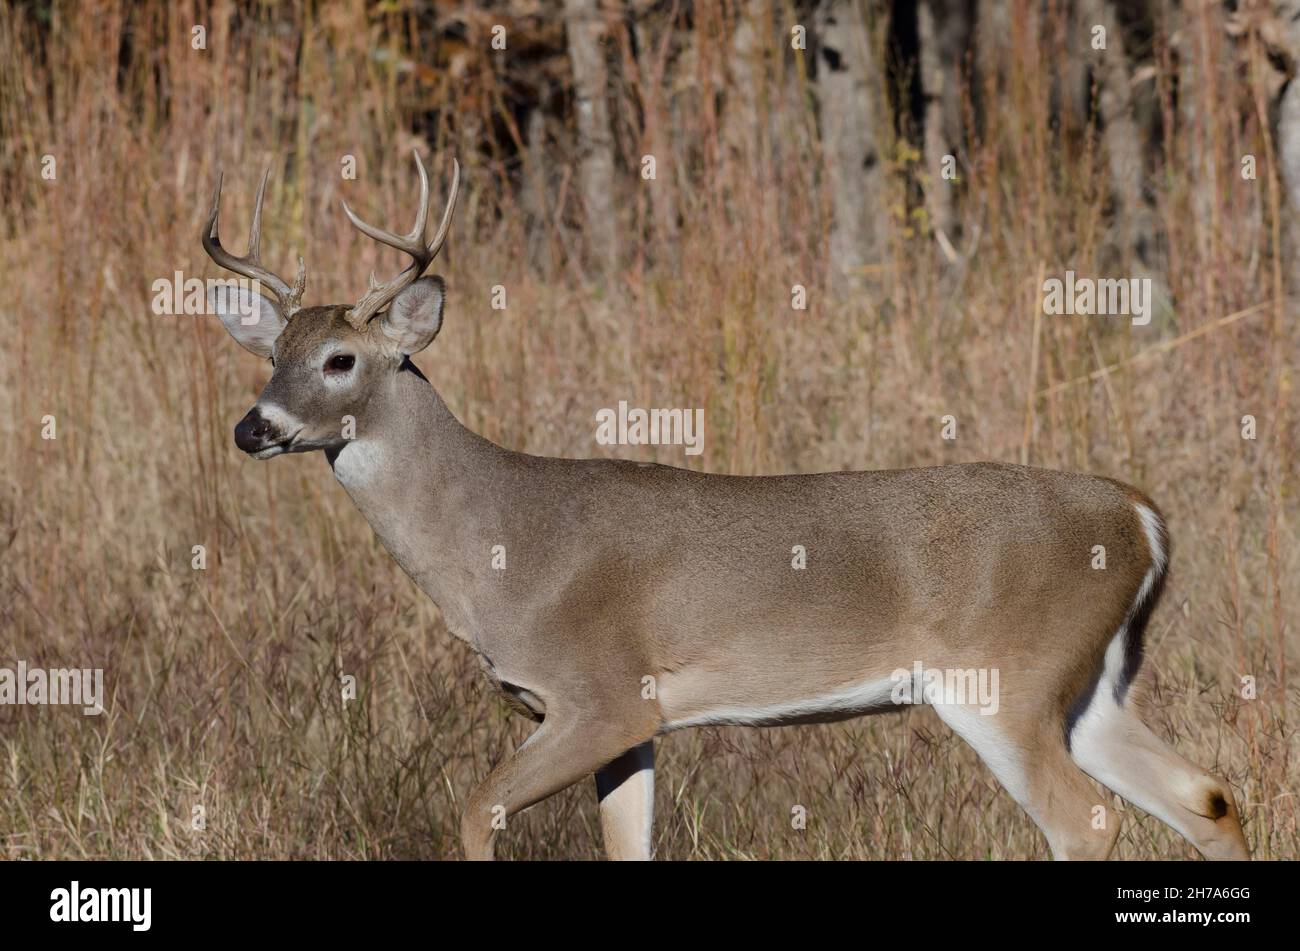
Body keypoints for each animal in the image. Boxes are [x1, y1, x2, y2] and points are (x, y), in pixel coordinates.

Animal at [202, 151, 1249, 861]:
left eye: (341, 359)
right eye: (273, 354)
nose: (252, 427)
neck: (500, 542)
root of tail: (1139, 515)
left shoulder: (603, 692)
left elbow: (471, 809)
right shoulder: (635, 723)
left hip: (1008, 676)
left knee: (1090, 819)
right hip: (1093, 683)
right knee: (1208, 795)